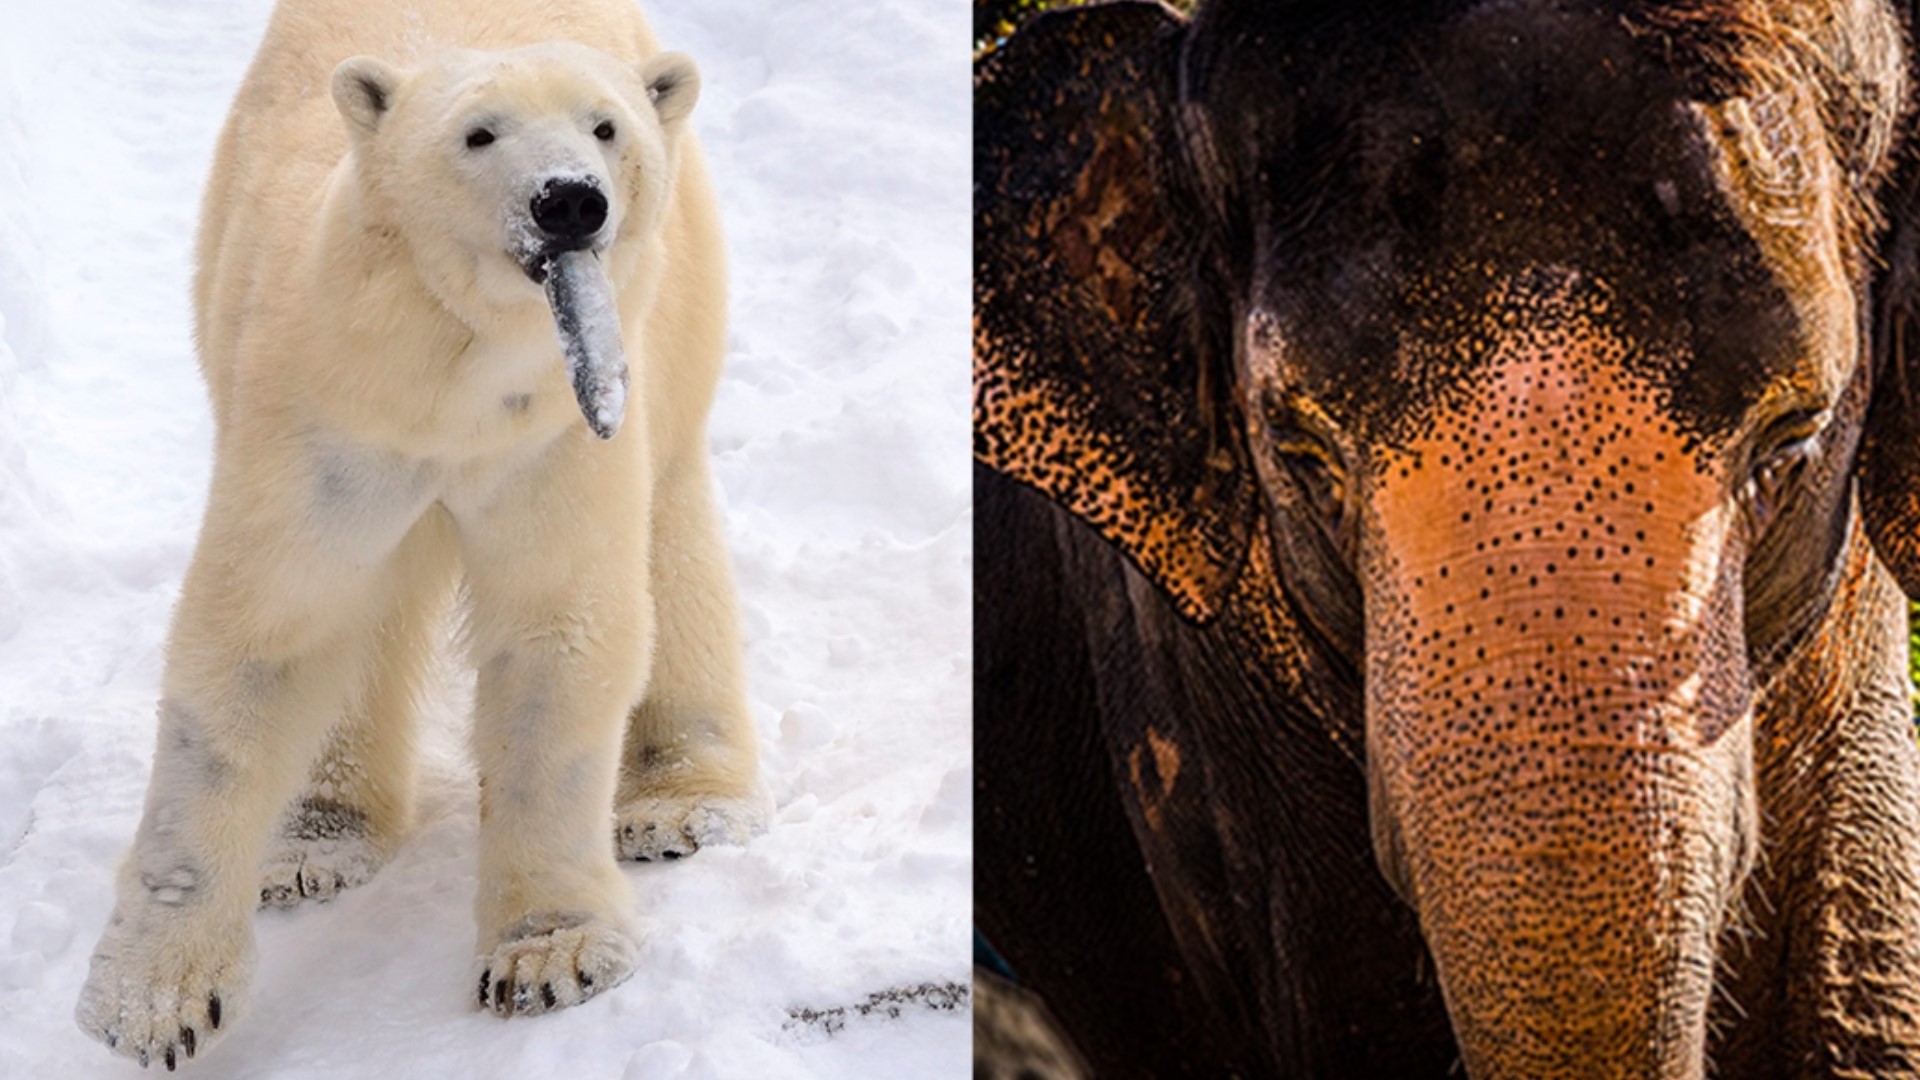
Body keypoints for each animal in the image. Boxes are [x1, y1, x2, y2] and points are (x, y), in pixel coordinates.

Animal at [73, 0, 770, 1067]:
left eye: (605, 126)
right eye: (478, 134)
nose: (570, 202)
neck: (456, 373)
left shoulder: (551, 432)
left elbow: (557, 630)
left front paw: (549, 957)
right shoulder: (327, 407)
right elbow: (268, 634)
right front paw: (155, 1004)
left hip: (675, 314)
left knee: (671, 533)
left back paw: (680, 806)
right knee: (364, 618)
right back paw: (312, 843)